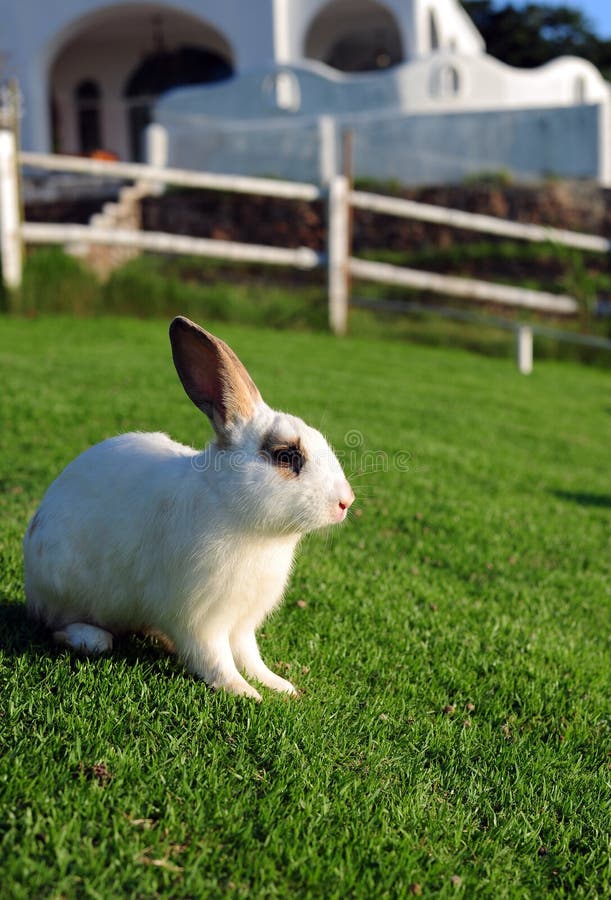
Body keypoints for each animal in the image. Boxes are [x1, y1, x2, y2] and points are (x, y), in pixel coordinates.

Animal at [23, 316, 354, 700]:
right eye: (286, 456)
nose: (346, 501)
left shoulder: (242, 621)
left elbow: (249, 655)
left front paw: (279, 685)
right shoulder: (199, 618)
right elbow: (216, 659)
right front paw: (244, 692)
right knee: (57, 625)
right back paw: (92, 638)